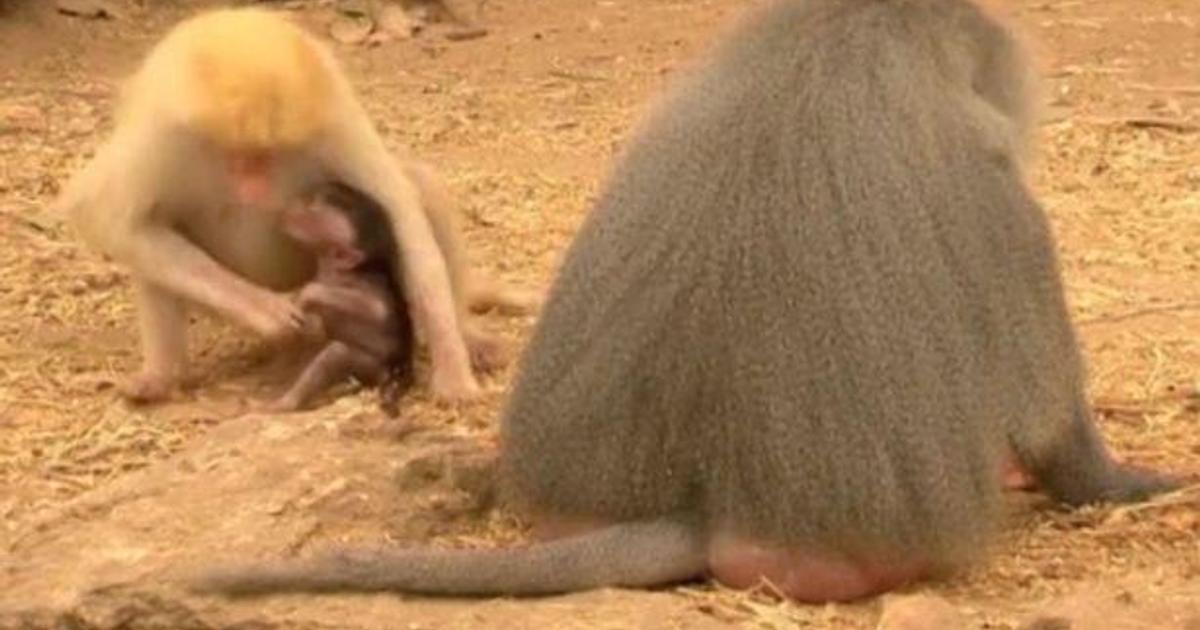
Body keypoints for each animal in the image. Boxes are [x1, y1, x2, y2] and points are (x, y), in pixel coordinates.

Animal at [265, 182, 417, 414]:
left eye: (314, 208)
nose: (290, 205)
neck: (333, 270)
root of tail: (396, 370)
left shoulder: (366, 285)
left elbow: (376, 308)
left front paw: (307, 295)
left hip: (369, 366)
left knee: (336, 354)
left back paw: (284, 402)